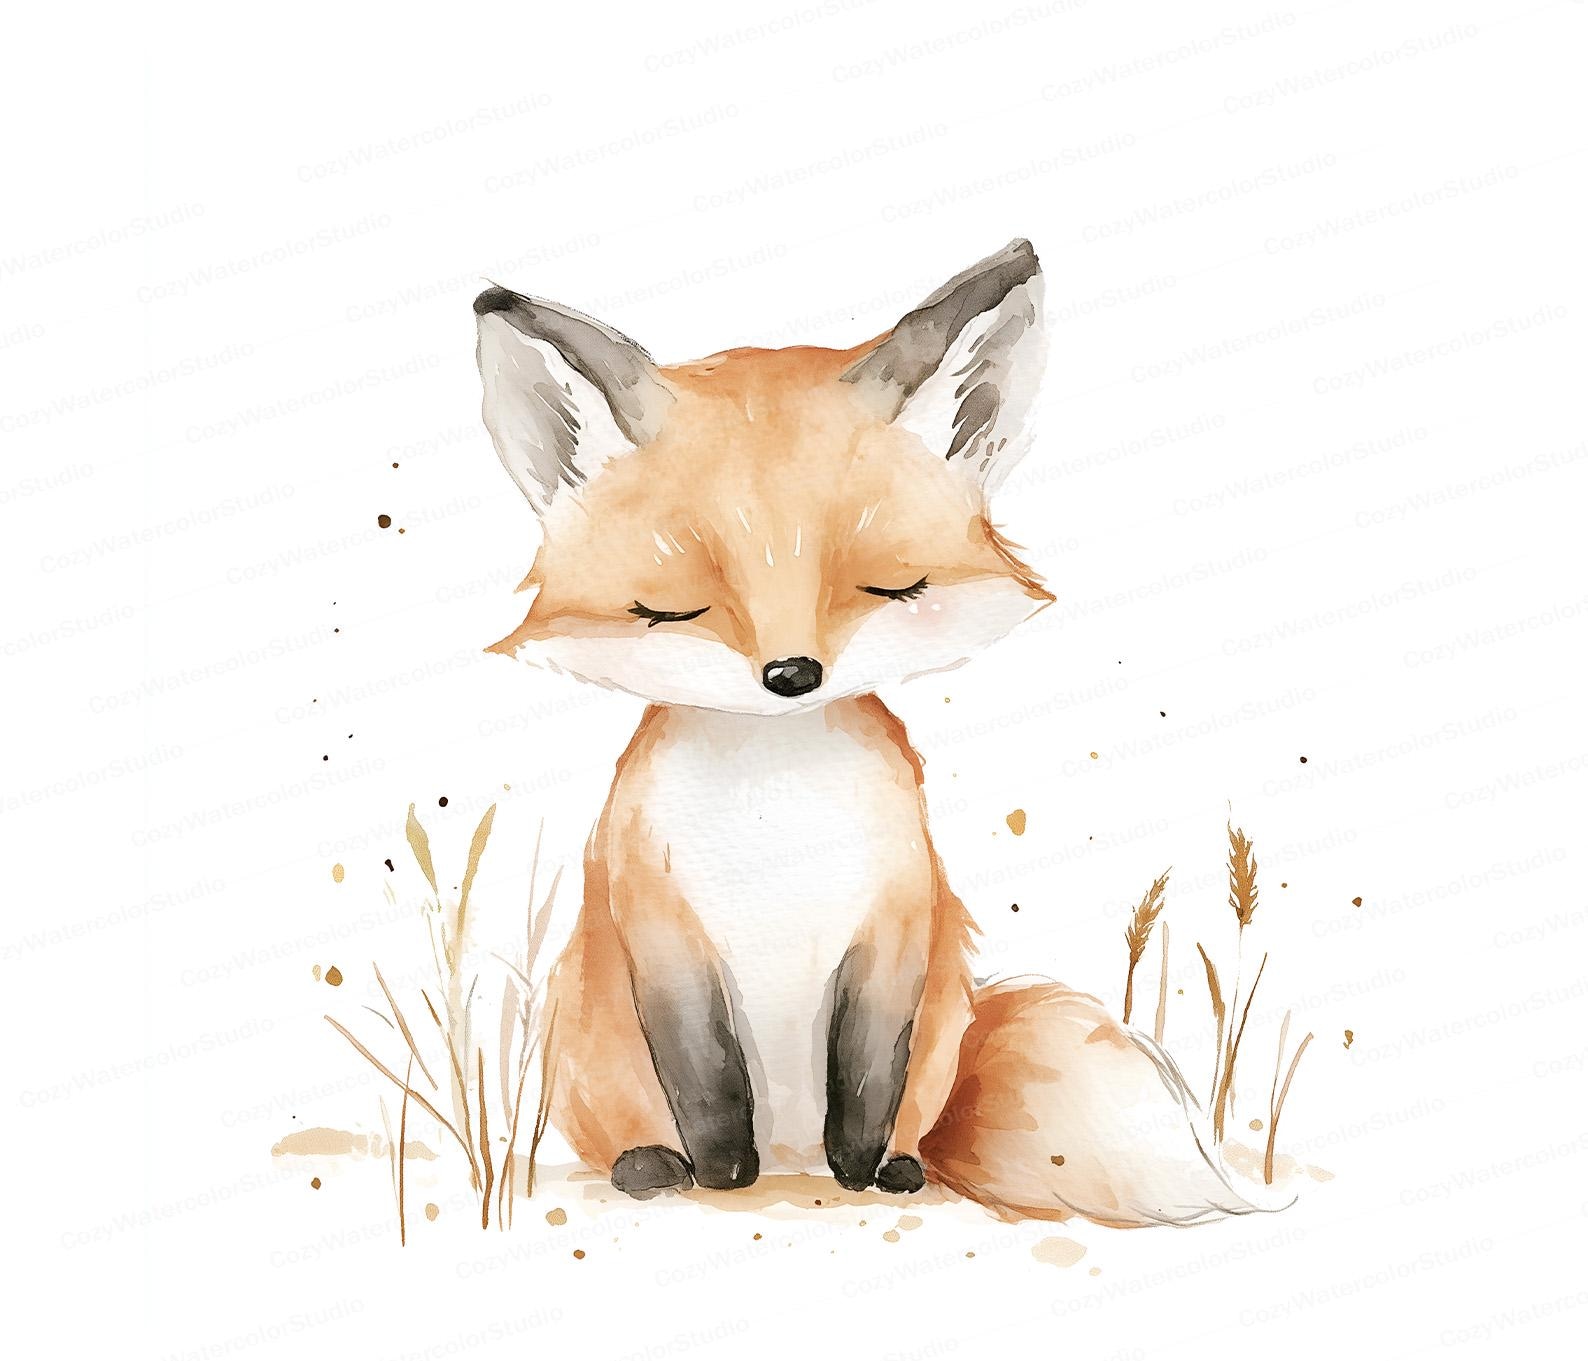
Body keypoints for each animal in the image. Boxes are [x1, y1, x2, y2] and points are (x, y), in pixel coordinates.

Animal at [471, 240, 1269, 1225]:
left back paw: (893, 1166)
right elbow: (706, 1077)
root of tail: (792, 1158)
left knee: (906, 1117)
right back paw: (656, 1164)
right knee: (636, 1133)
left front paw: (858, 1165)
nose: (791, 676)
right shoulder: (659, 928)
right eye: (674, 608)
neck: (775, 811)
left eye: (889, 586)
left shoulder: (895, 917)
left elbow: (864, 1074)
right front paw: (722, 1171)